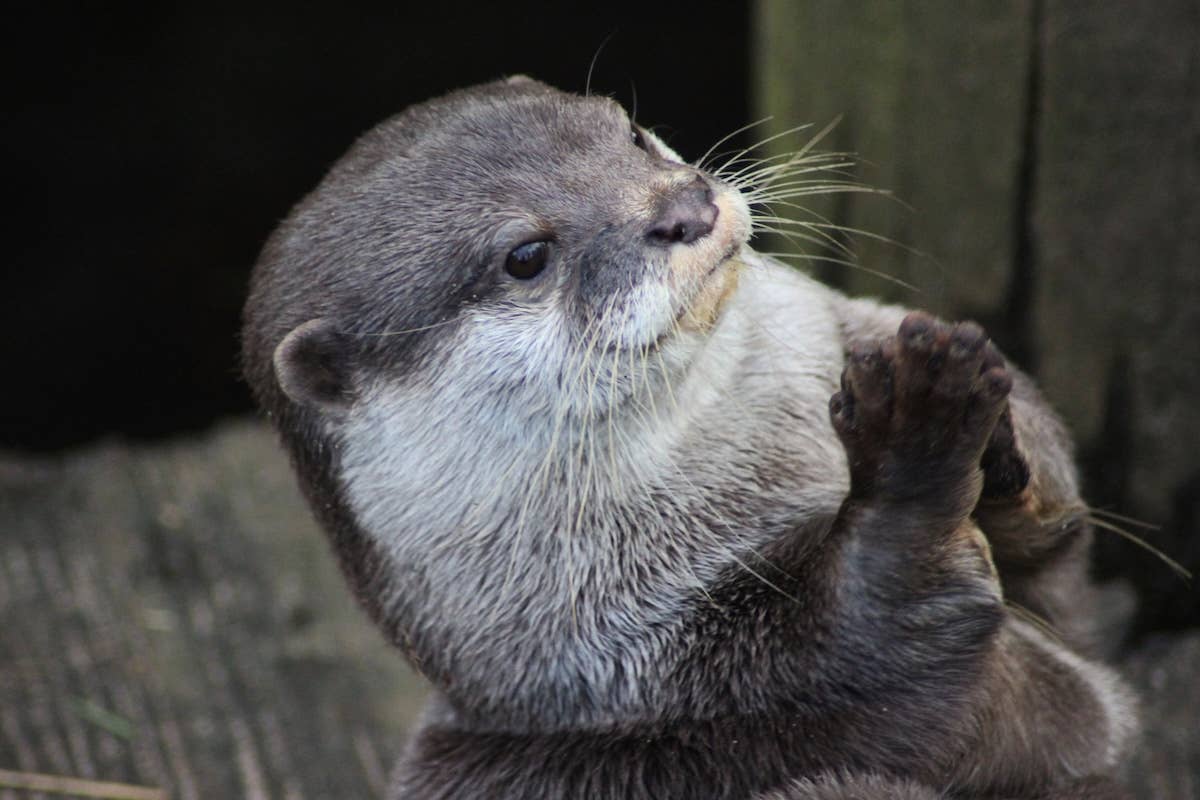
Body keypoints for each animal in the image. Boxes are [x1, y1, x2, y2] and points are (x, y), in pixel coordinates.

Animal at [241, 76, 1137, 799]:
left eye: (632, 134)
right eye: (525, 256)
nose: (685, 208)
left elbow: (1064, 557)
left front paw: (997, 445)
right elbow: (896, 620)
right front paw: (918, 447)